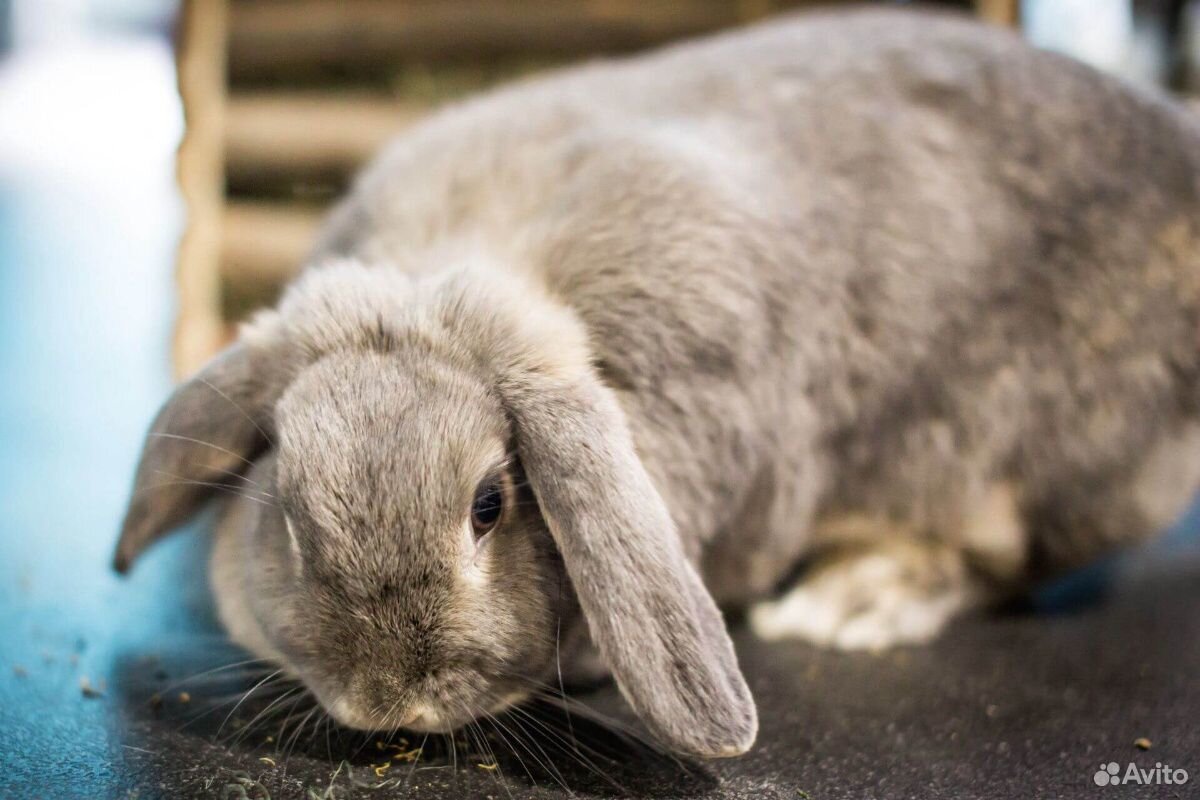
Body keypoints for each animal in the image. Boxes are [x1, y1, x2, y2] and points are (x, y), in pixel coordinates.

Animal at [115, 8, 1200, 758]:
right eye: (291, 520)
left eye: (489, 505)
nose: (390, 700)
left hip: (1042, 468)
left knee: (1003, 561)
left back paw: (855, 598)